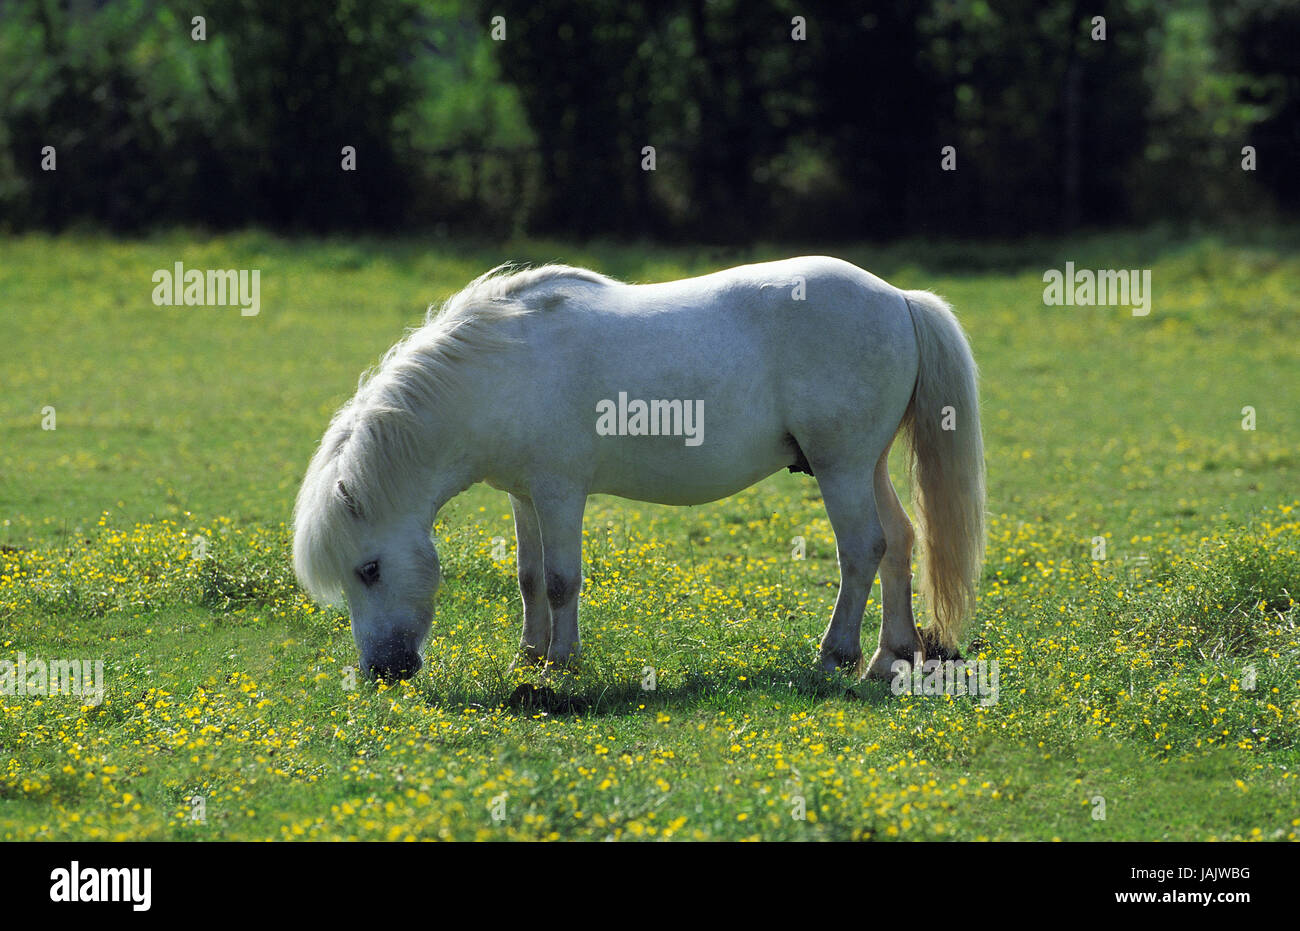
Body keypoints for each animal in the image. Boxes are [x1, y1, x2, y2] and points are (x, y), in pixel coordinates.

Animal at [292, 257, 985, 683]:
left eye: (369, 569)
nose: (384, 672)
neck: (501, 370)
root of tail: (898, 298)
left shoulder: (560, 492)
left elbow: (561, 580)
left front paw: (562, 664)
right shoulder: (524, 496)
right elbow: (527, 577)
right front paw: (529, 656)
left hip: (841, 468)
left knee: (862, 548)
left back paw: (835, 656)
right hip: (864, 466)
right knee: (899, 541)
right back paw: (890, 658)